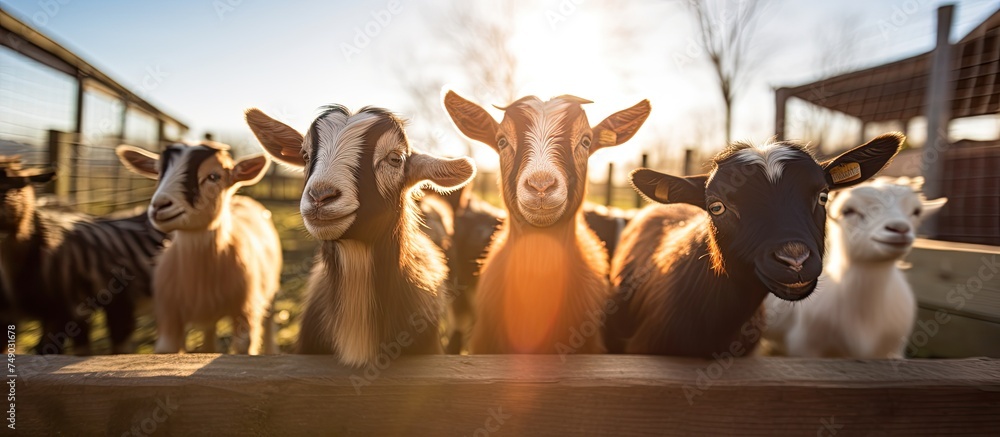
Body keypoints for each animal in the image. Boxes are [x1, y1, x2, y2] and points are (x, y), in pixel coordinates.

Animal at [116, 142, 280, 354]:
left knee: (269, 317)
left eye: (214, 176)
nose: (160, 205)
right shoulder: (169, 319)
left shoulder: (245, 313)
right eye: (159, 172)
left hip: (271, 287)